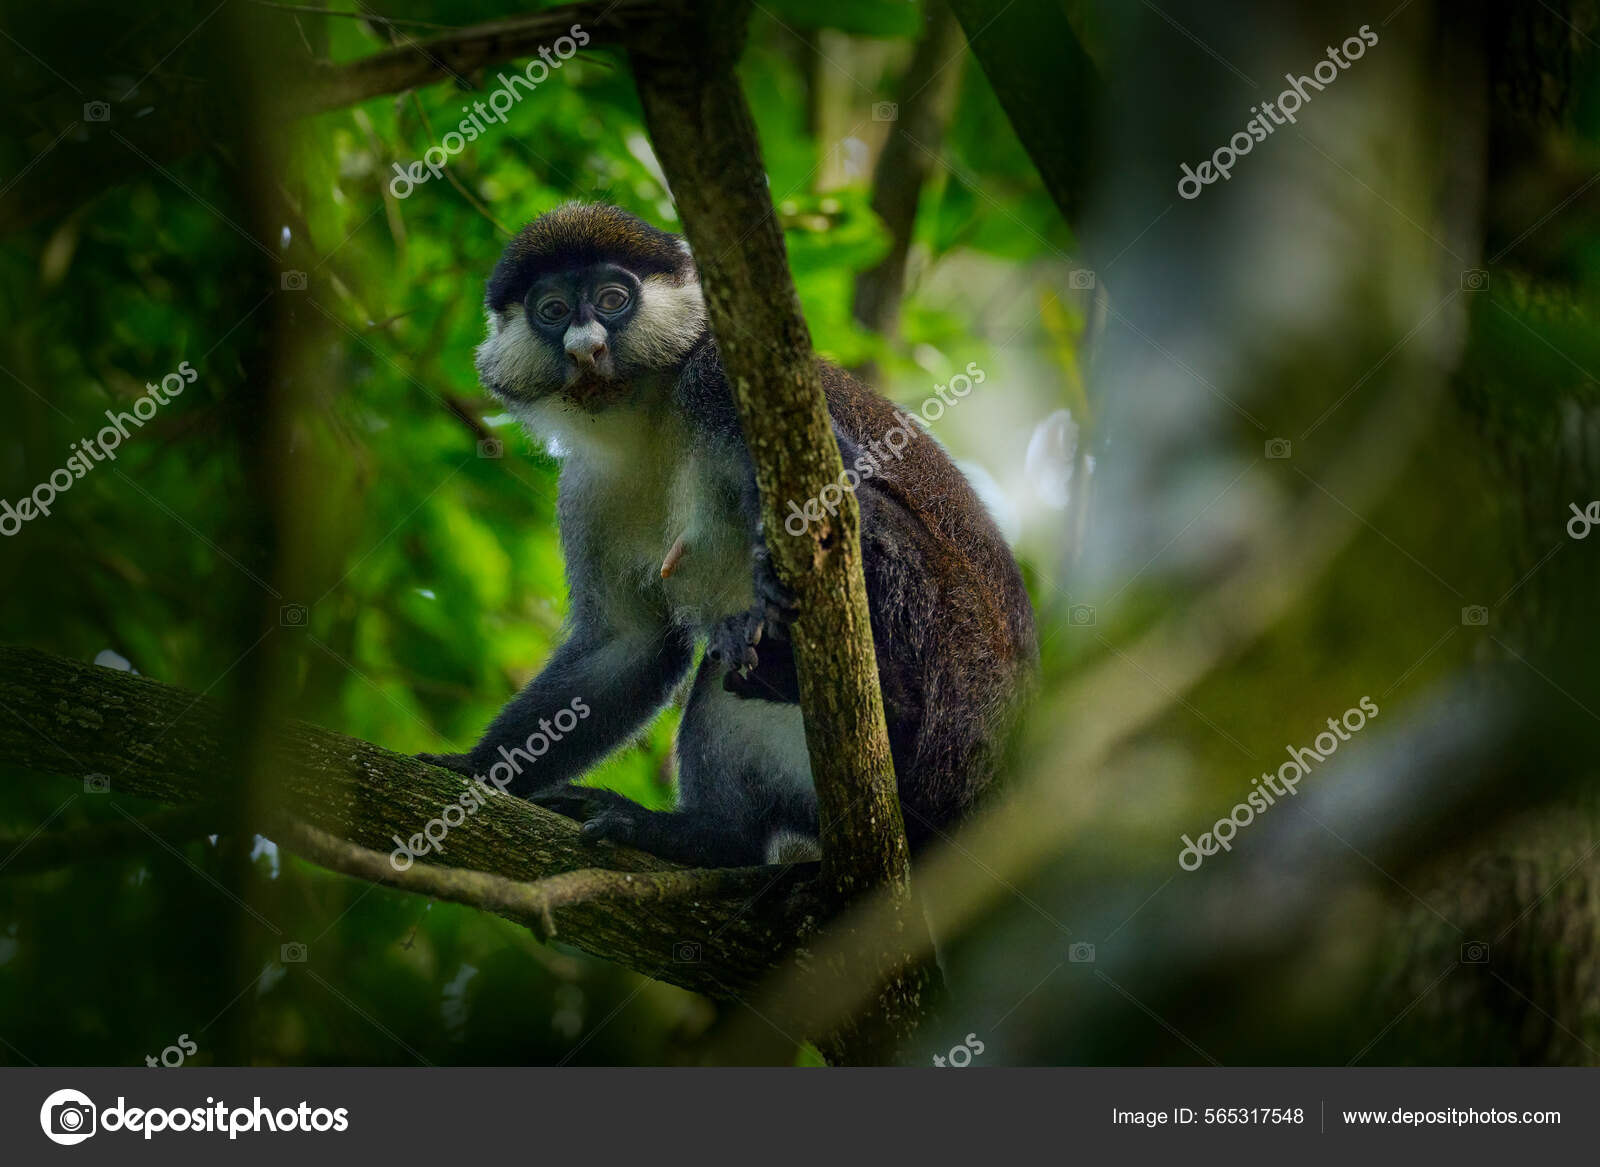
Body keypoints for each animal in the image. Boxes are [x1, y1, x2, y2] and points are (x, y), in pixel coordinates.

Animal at [417, 203, 1036, 868]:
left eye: (612, 299)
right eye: (552, 310)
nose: (586, 349)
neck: (651, 414)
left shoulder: (718, 382)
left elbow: (836, 491)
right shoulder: (584, 490)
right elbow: (629, 646)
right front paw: (475, 772)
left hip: (955, 704)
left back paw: (887, 699)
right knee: (726, 681)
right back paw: (708, 836)